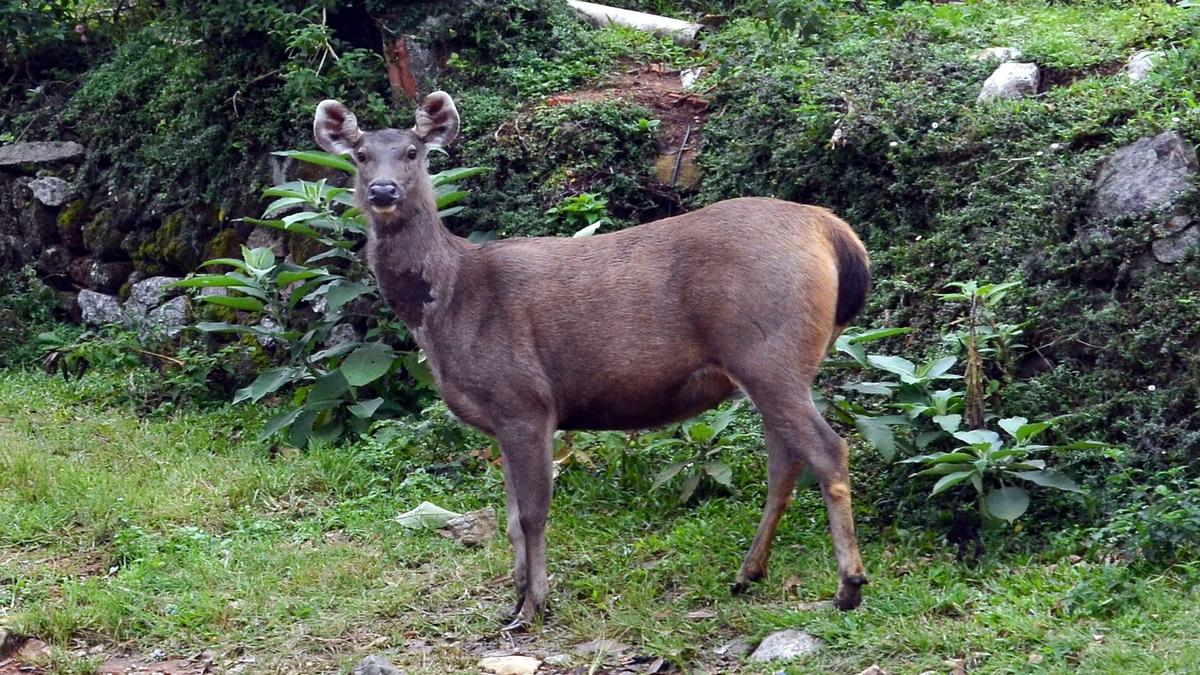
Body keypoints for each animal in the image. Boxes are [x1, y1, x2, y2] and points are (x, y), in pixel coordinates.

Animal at [313, 91, 872, 630]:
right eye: (360, 155)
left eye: (413, 152)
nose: (383, 191)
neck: (450, 301)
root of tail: (835, 232)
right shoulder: (502, 419)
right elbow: (511, 518)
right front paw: (514, 602)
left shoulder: (524, 400)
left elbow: (533, 514)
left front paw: (533, 608)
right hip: (779, 363)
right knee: (785, 461)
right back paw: (747, 574)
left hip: (767, 351)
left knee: (827, 449)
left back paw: (848, 587)